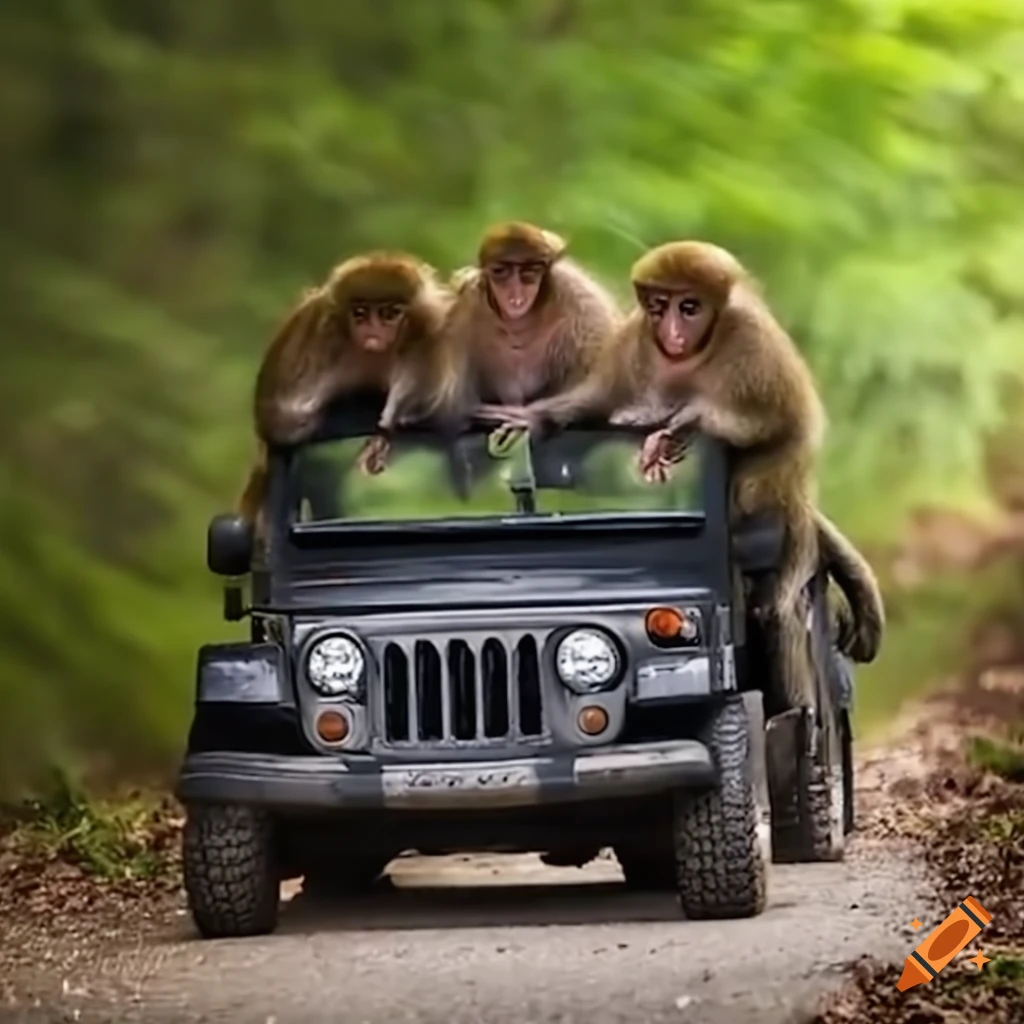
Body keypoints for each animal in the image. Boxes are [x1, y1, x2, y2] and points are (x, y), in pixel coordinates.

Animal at [237, 252, 459, 525]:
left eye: (390, 313)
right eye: (360, 313)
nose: (372, 335)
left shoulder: (432, 334)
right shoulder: (316, 334)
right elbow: (280, 419)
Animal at [520, 241, 884, 709]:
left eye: (689, 308)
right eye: (659, 306)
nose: (673, 333)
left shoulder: (753, 343)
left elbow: (776, 424)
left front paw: (685, 422)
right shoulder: (636, 340)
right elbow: (597, 405)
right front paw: (543, 417)